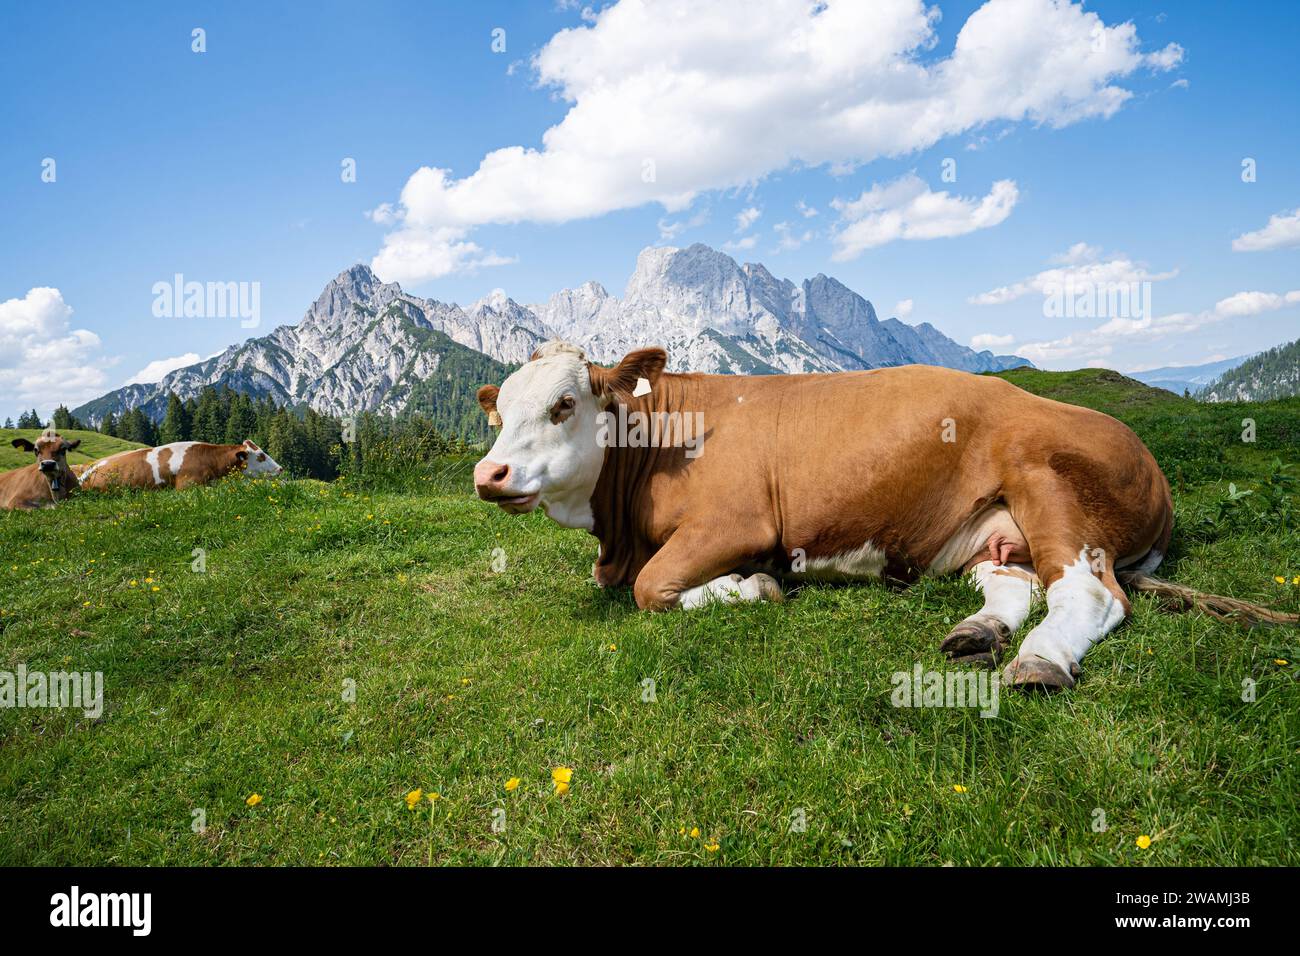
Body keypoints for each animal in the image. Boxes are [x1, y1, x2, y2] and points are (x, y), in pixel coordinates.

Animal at [473, 341, 1295, 691]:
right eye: (500, 413)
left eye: (563, 404)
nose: (489, 474)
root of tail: (1152, 464)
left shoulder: (736, 526)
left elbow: (652, 589)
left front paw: (755, 588)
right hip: (990, 533)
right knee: (1017, 584)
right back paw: (979, 633)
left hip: (1049, 485)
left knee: (1088, 593)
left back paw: (1039, 660)